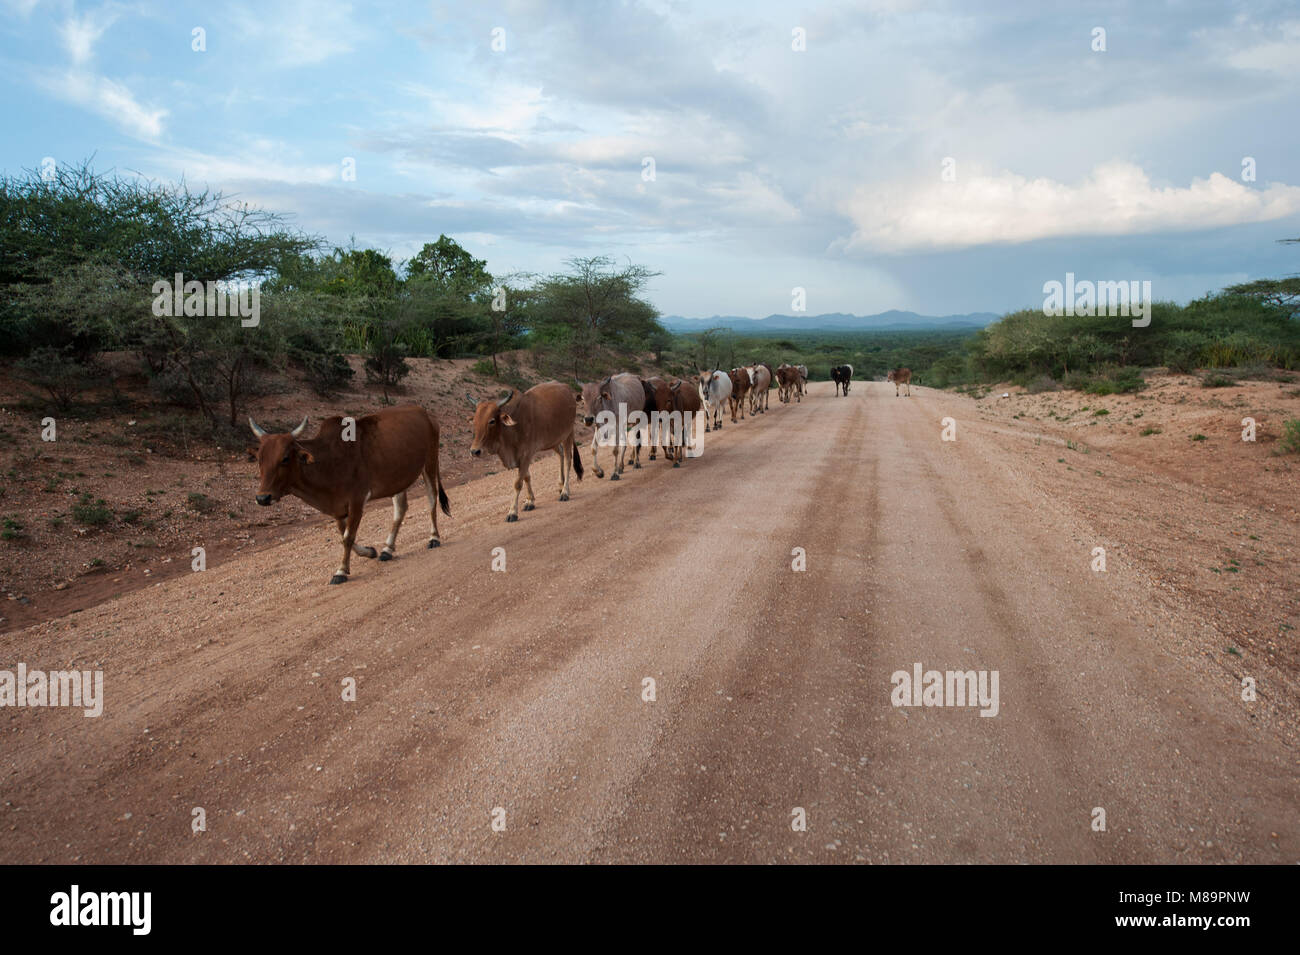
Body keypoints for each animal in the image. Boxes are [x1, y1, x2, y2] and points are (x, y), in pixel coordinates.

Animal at [249, 405, 450, 585]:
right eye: (259, 459)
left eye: (284, 458)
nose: (262, 498)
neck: (329, 461)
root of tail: (425, 412)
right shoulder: (338, 508)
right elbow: (344, 535)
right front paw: (370, 551)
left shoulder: (357, 501)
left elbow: (347, 538)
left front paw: (341, 571)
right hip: (398, 477)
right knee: (400, 509)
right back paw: (387, 549)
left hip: (430, 463)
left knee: (432, 499)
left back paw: (434, 538)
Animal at [469, 381, 583, 522]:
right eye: (475, 421)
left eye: (491, 421)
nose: (475, 451)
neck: (512, 429)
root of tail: (566, 388)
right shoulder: (521, 457)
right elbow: (527, 477)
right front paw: (530, 501)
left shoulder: (526, 454)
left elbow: (518, 483)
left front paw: (512, 512)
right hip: (553, 440)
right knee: (561, 454)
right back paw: (560, 485)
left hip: (568, 434)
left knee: (568, 459)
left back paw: (565, 492)